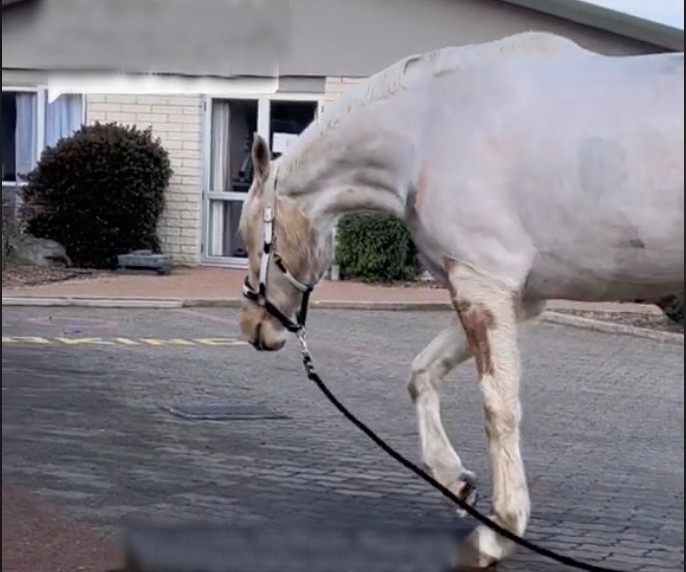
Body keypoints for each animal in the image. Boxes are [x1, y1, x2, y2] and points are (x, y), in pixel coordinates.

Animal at [237, 31, 684, 569]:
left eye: (253, 239)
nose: (253, 327)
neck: (430, 129)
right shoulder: (513, 296)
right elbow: (423, 375)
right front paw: (455, 480)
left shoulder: (481, 283)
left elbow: (499, 407)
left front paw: (497, 532)